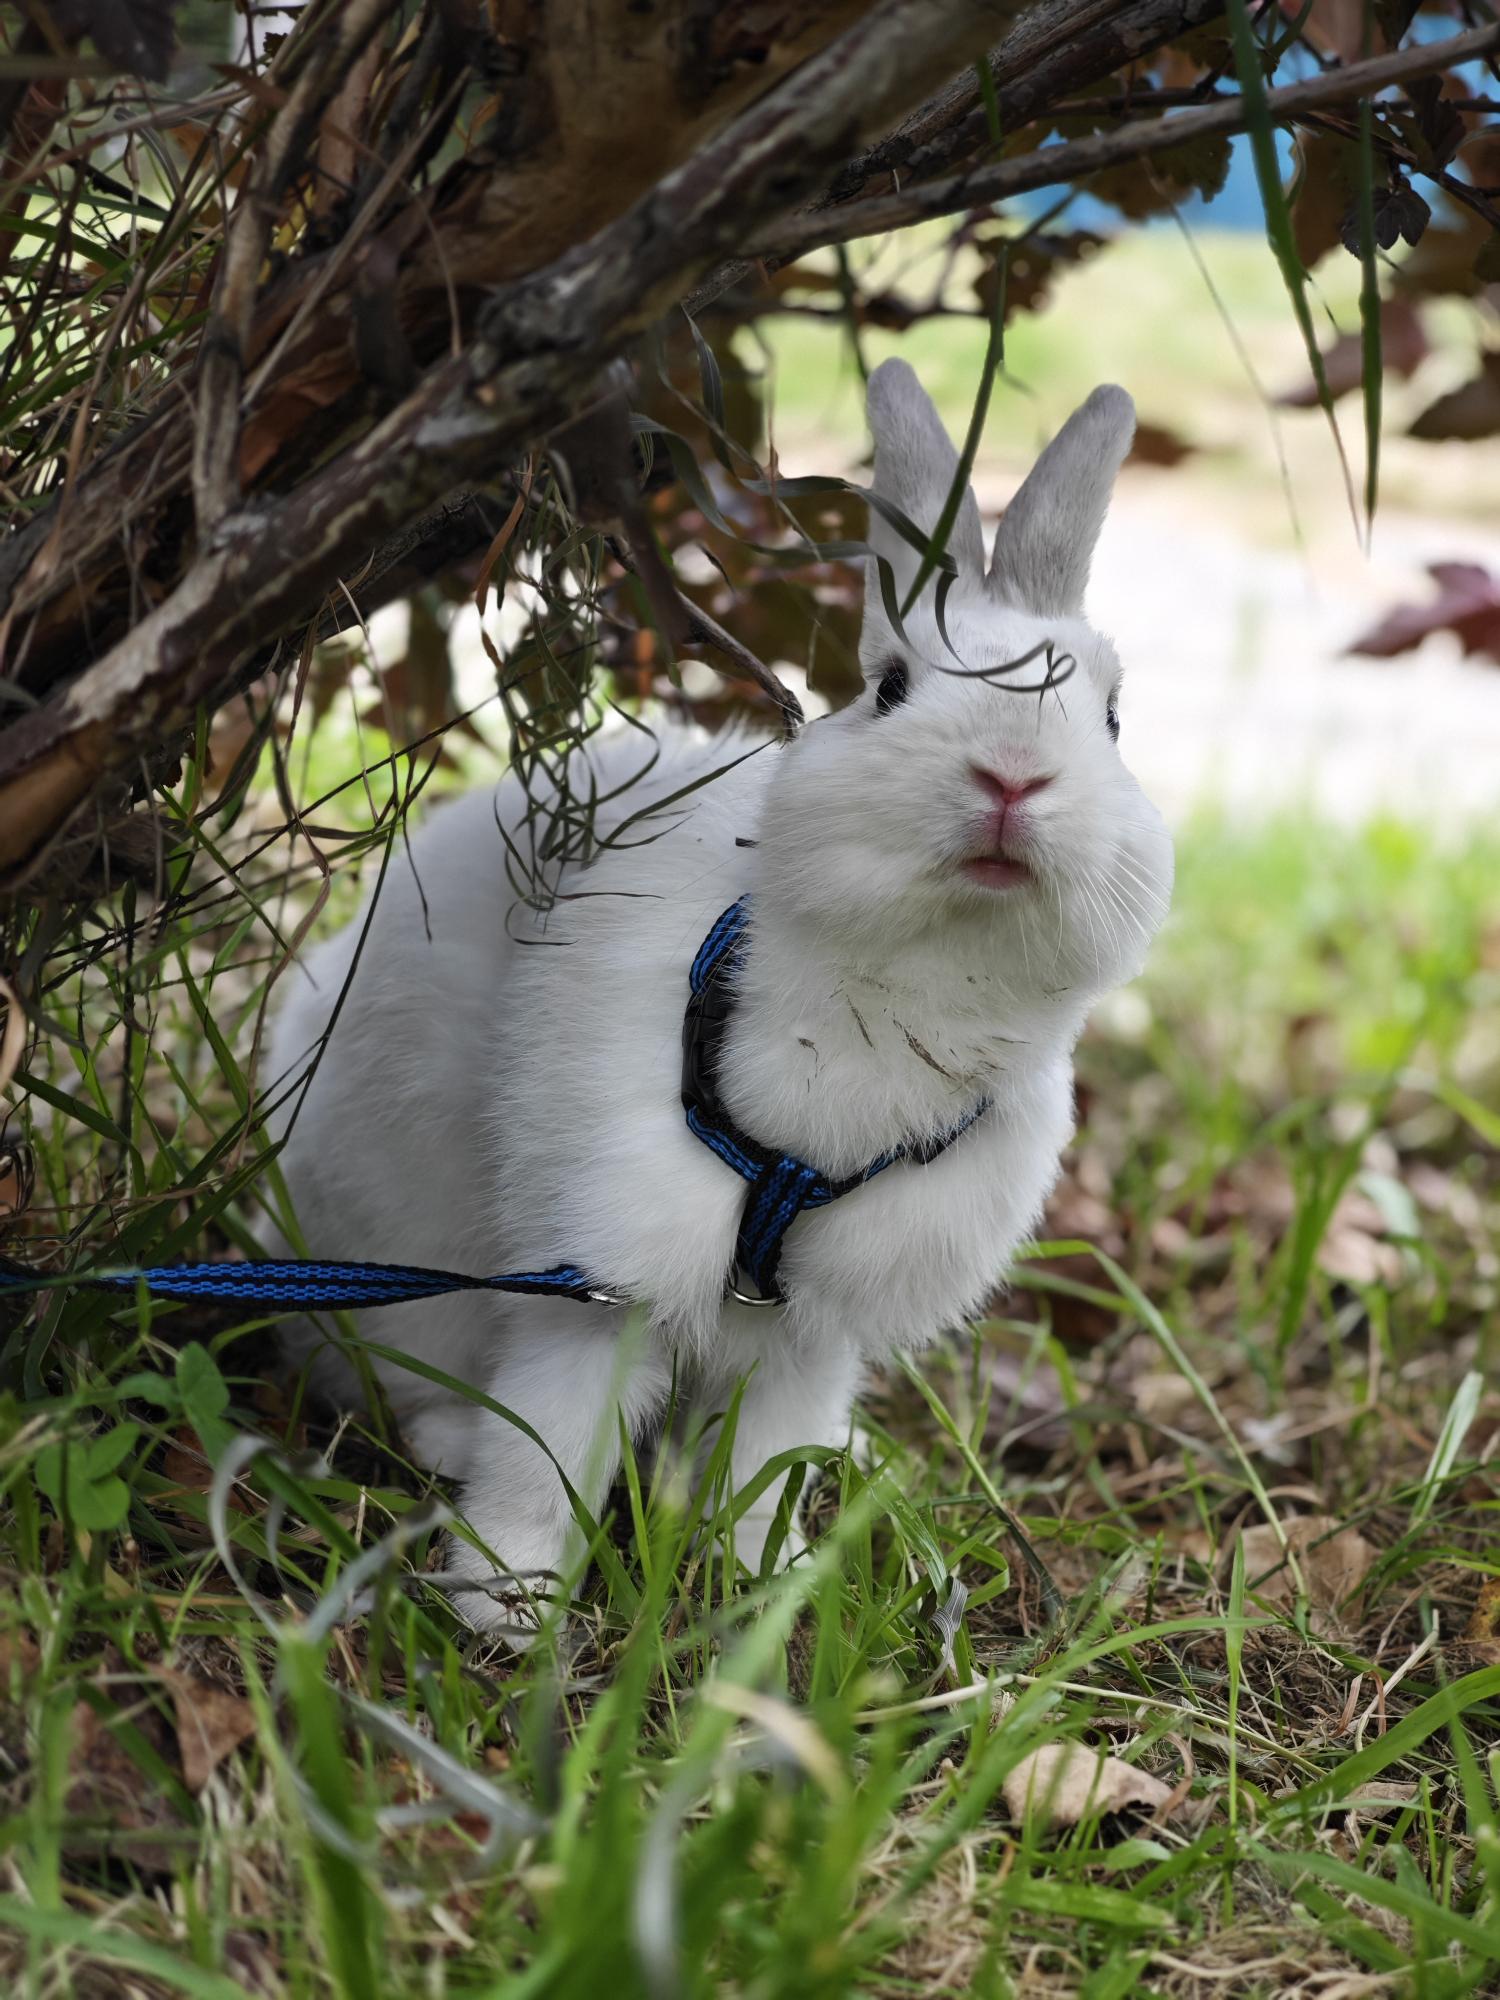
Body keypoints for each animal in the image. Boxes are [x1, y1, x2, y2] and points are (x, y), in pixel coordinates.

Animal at [262, 368, 1176, 1632]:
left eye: (1115, 716)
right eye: (890, 686)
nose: (1011, 775)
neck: (903, 995)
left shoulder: (812, 1322)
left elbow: (766, 1457)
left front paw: (762, 1584)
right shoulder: (601, 1267)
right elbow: (549, 1440)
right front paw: (507, 1597)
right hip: (405, 1249)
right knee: (382, 1359)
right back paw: (447, 1439)